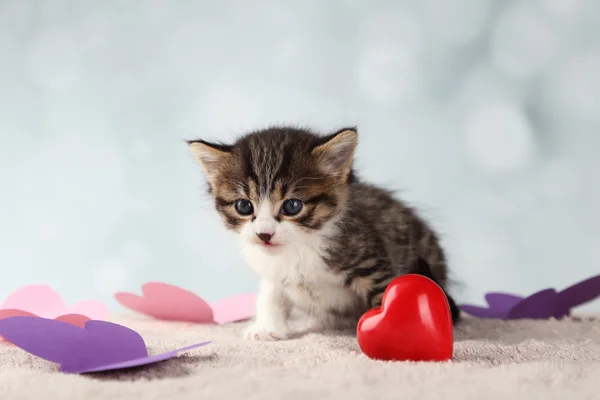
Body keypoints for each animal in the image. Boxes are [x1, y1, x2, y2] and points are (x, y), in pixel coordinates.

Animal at [188, 126, 460, 340]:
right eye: (244, 206)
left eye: (292, 206)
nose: (264, 234)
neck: (299, 247)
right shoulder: (274, 270)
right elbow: (270, 293)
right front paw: (267, 327)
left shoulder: (371, 260)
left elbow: (385, 294)